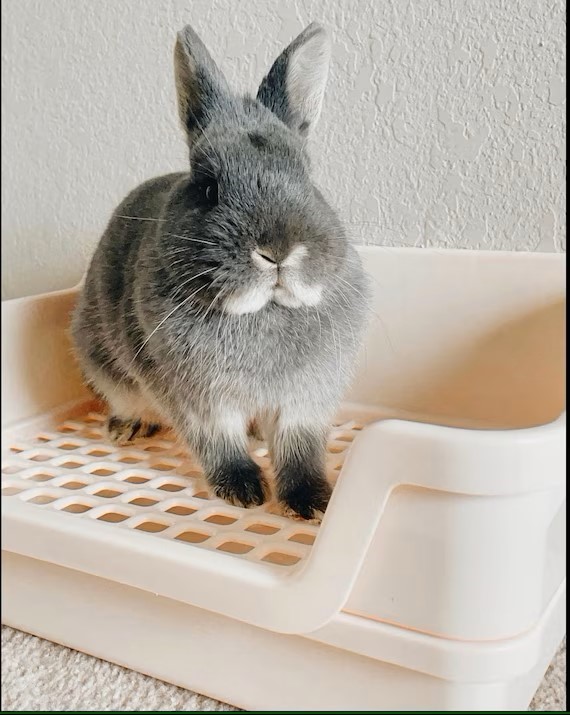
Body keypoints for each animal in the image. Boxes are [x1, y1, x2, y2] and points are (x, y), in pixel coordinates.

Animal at [71, 21, 370, 521]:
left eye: (307, 179)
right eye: (209, 189)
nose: (277, 250)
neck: (263, 312)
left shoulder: (305, 400)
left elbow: (299, 449)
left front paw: (312, 504)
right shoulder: (199, 403)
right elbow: (219, 445)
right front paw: (244, 492)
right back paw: (126, 428)